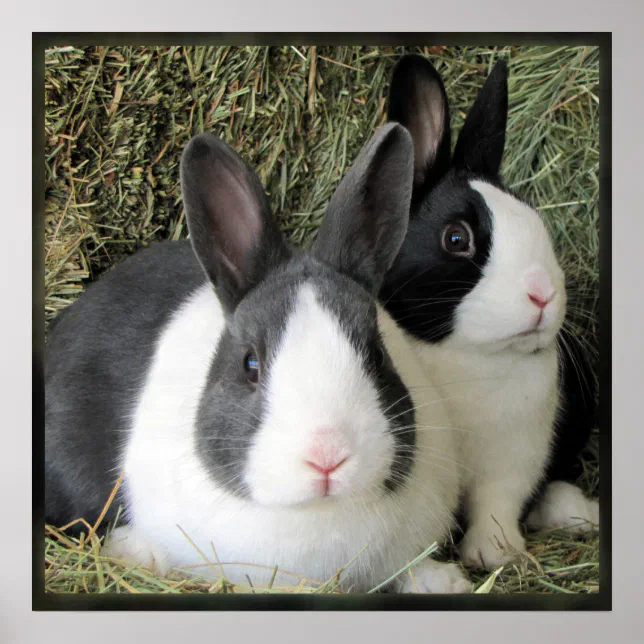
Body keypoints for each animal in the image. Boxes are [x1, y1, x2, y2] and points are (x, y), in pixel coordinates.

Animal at [379, 54, 599, 570]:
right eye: (457, 238)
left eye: (536, 221)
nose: (543, 294)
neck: (468, 358)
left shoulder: (515, 459)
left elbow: (497, 503)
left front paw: (493, 554)